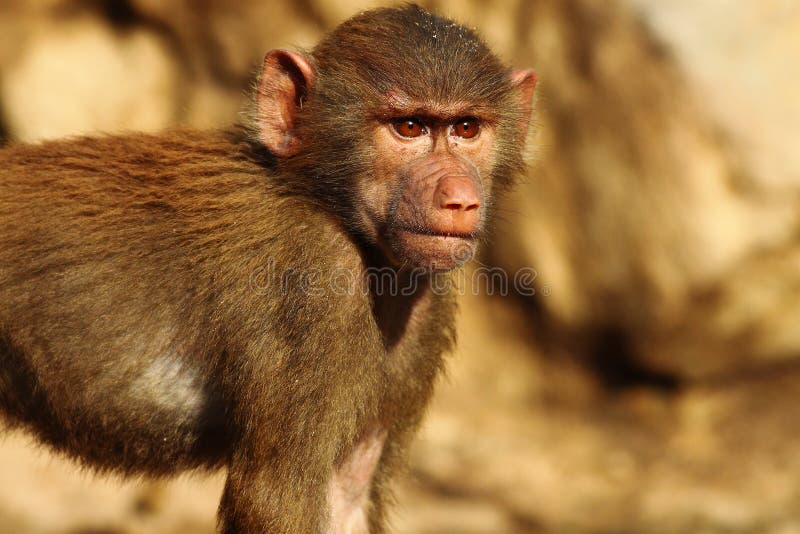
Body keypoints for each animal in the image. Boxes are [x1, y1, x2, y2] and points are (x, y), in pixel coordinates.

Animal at [0, 5, 536, 533]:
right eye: (409, 127)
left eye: (466, 129)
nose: (459, 199)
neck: (327, 204)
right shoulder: (312, 278)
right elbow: (277, 498)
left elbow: (345, 496)